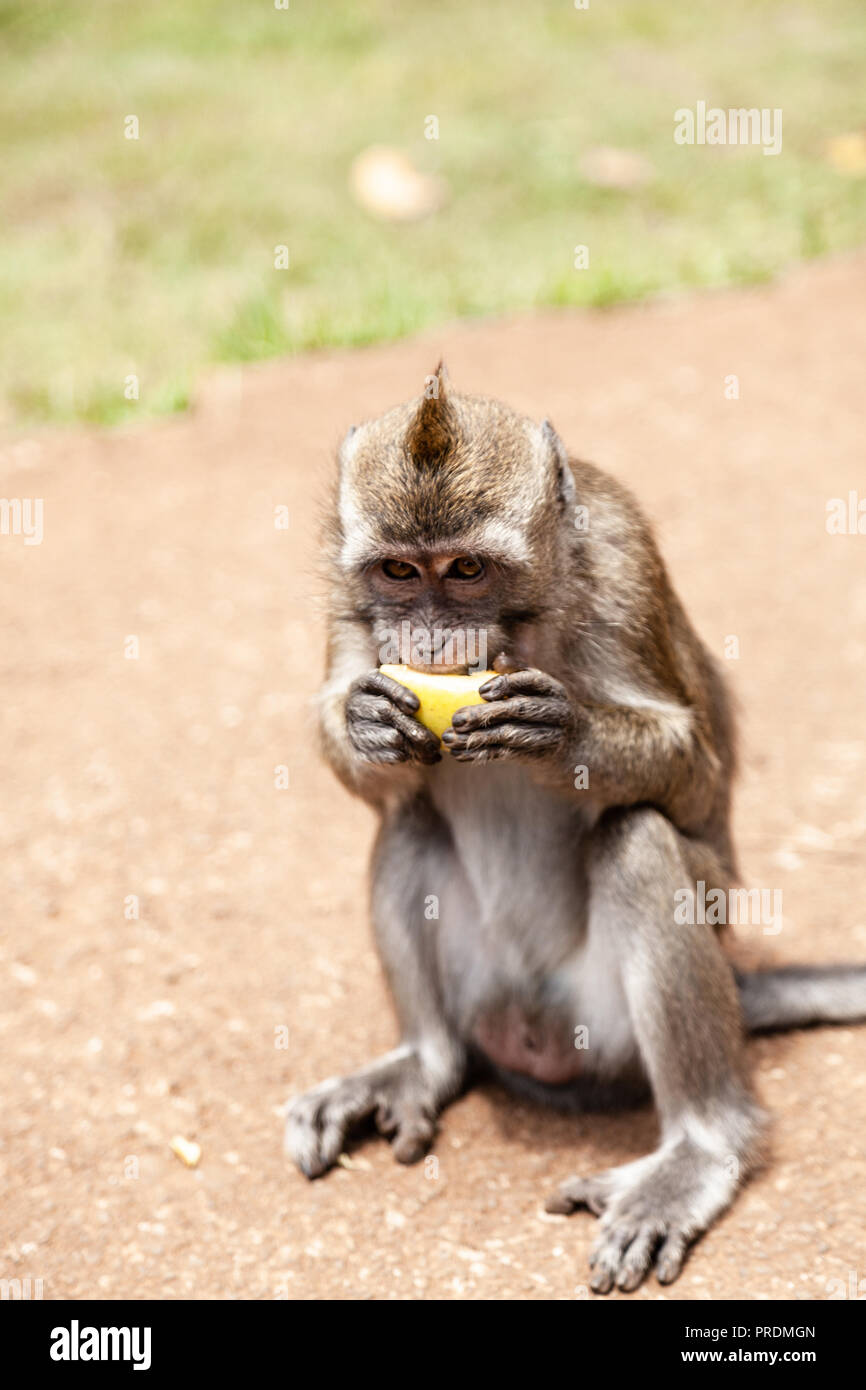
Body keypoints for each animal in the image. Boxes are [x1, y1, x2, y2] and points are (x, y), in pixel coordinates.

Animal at [285, 363, 866, 1293]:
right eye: (401, 572)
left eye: (469, 569)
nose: (430, 636)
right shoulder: (348, 595)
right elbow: (365, 761)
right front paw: (366, 718)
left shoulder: (626, 562)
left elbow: (696, 775)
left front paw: (562, 734)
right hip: (485, 994)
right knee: (412, 824)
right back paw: (422, 1059)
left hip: (612, 1020)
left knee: (639, 843)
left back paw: (701, 1150)